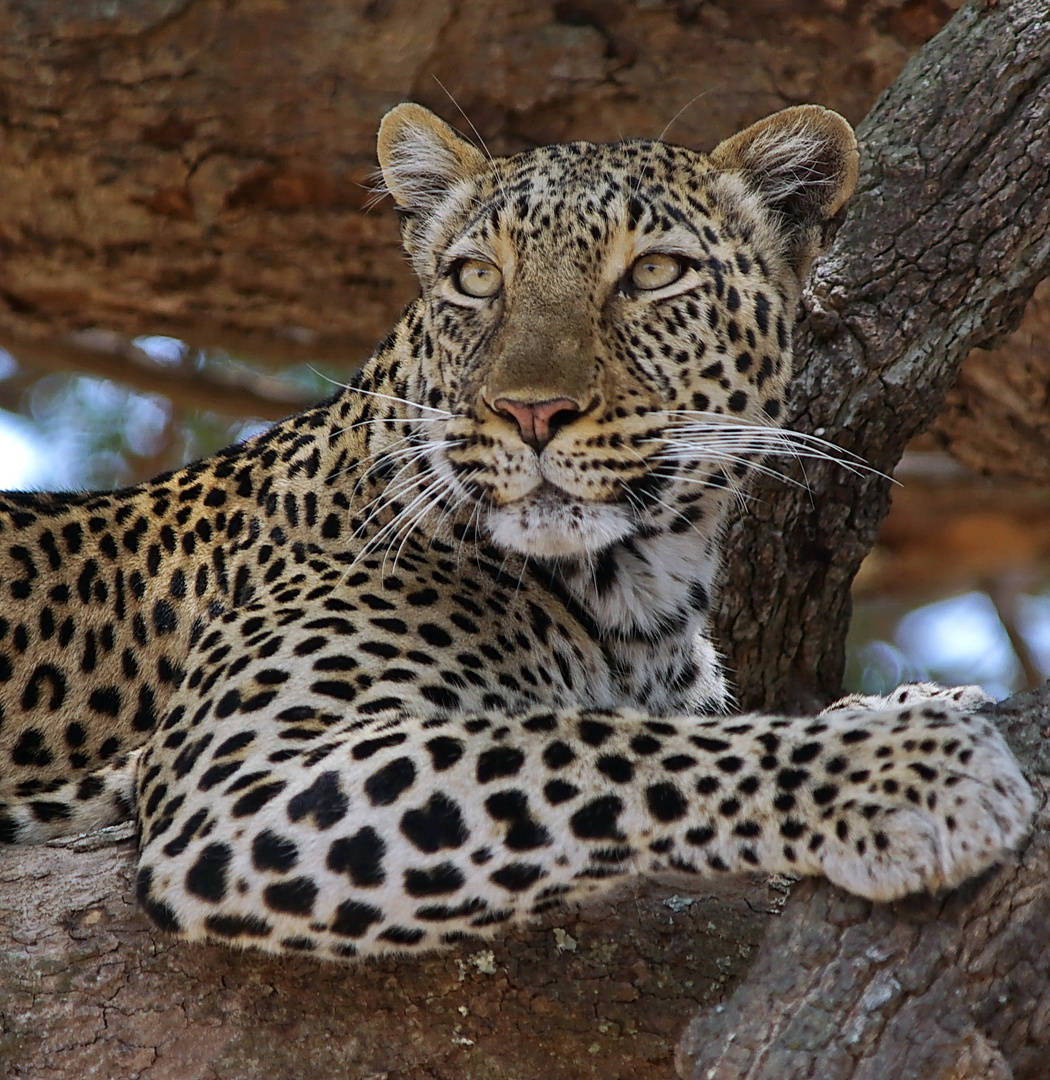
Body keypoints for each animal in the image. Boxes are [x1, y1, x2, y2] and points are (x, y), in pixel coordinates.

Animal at [0, 103, 1034, 962]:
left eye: (653, 273)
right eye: (476, 278)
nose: (531, 412)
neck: (642, 596)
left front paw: (917, 703)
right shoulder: (241, 776)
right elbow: (592, 748)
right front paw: (901, 773)